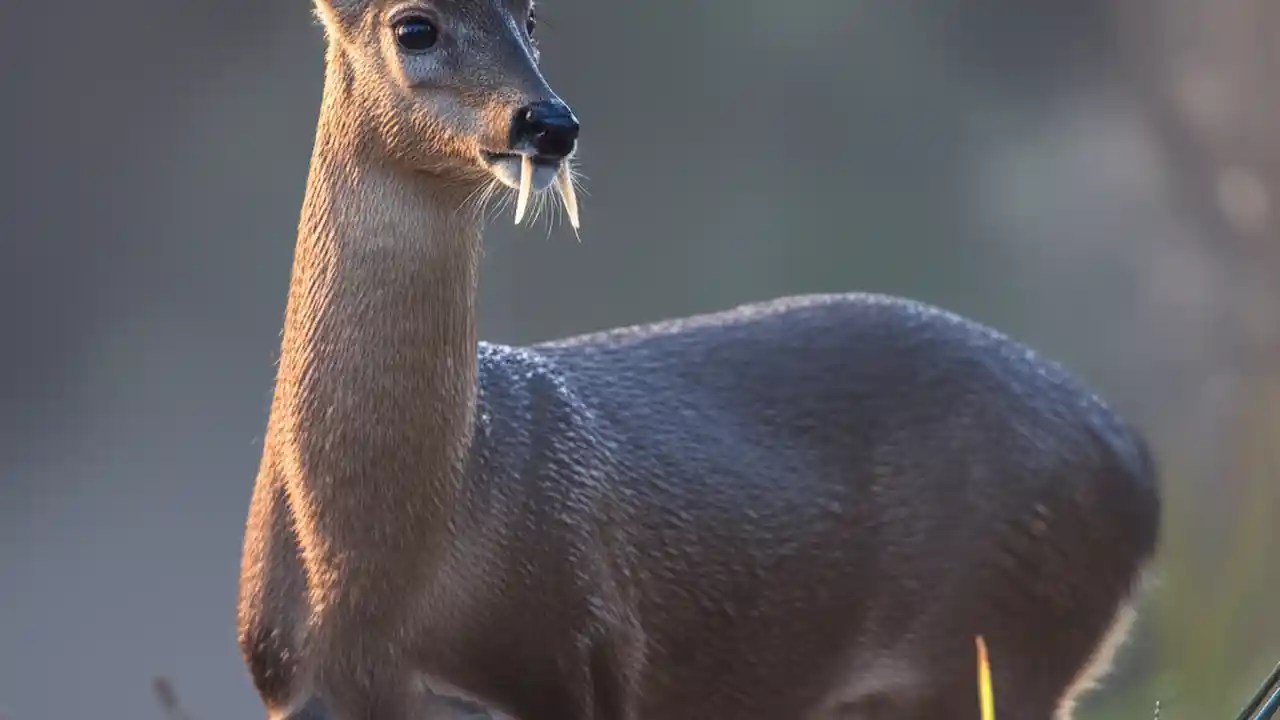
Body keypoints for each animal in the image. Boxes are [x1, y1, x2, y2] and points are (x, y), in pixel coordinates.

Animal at [235, 1, 1161, 718]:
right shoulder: (289, 684)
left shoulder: (574, 653)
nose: (549, 123)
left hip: (1005, 644)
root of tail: (1138, 467)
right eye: (415, 26)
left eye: (531, 17)